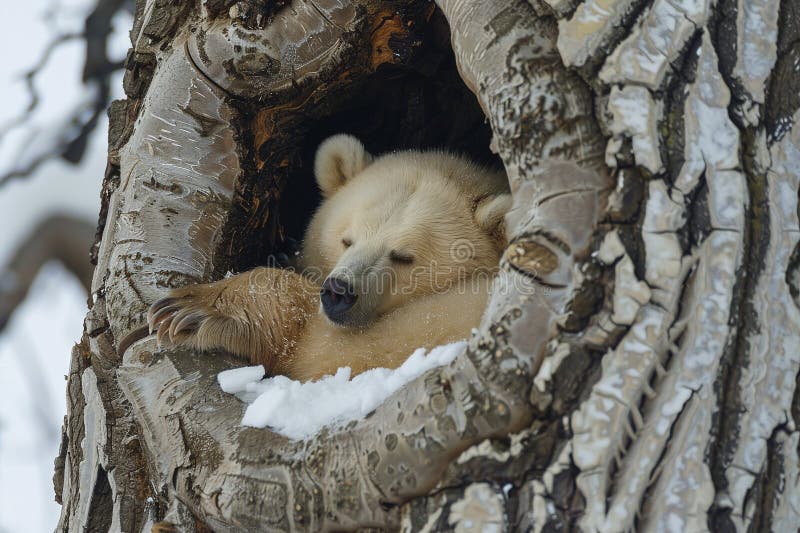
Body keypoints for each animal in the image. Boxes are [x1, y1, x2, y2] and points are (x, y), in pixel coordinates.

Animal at [147, 134, 511, 382]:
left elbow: (328, 350)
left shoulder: (450, 317)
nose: (338, 292)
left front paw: (189, 309)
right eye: (346, 239)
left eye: (404, 257)